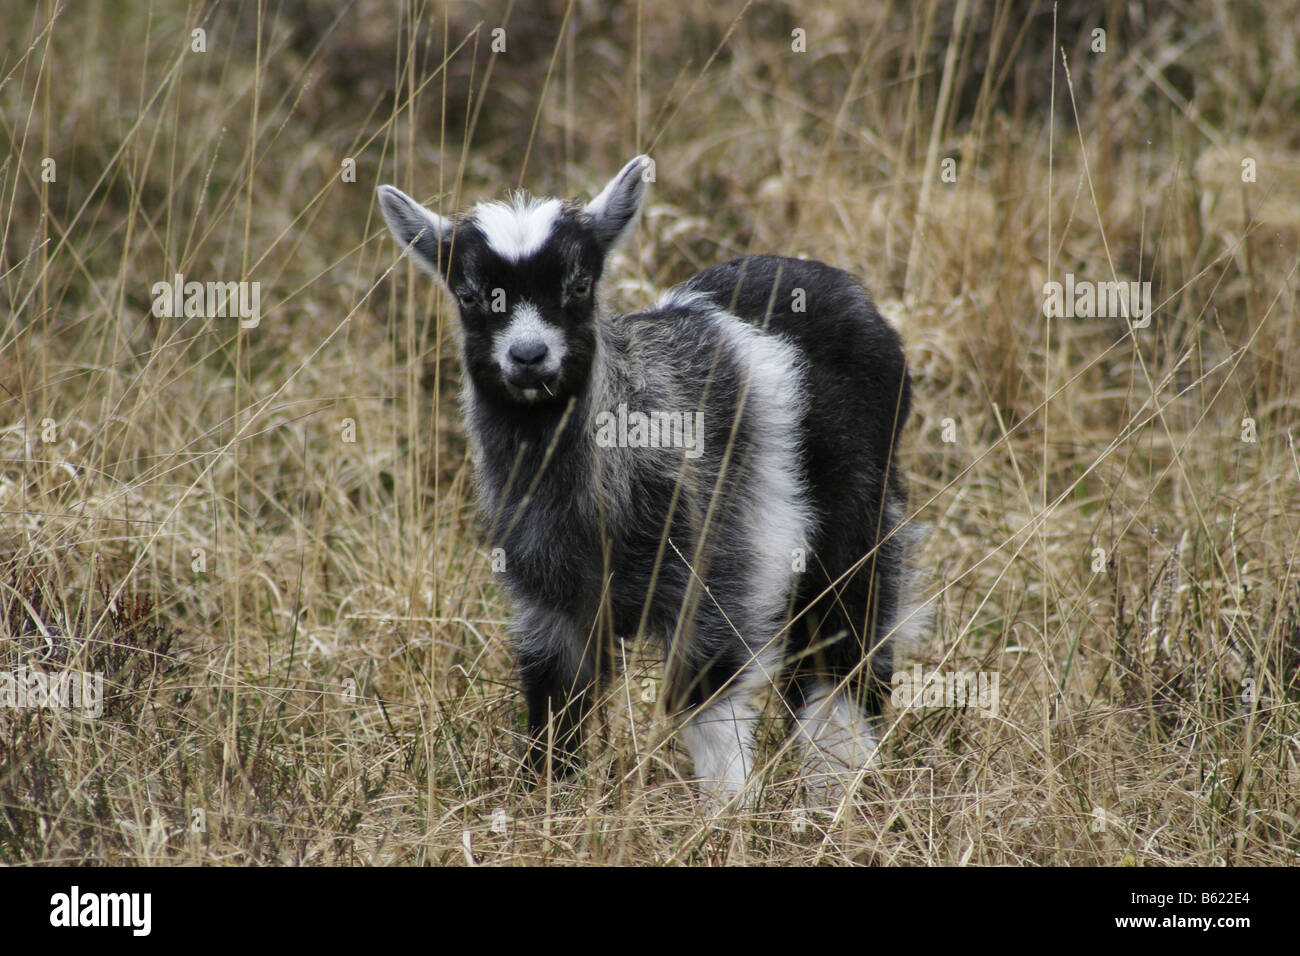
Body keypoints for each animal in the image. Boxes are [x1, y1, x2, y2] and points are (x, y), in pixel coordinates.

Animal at [377, 156, 924, 807]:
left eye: (579, 286)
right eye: (468, 296)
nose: (529, 357)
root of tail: (842, 288)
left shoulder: (719, 572)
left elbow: (706, 696)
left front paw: (728, 811)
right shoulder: (550, 601)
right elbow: (554, 700)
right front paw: (547, 800)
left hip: (860, 511)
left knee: (848, 636)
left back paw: (838, 781)